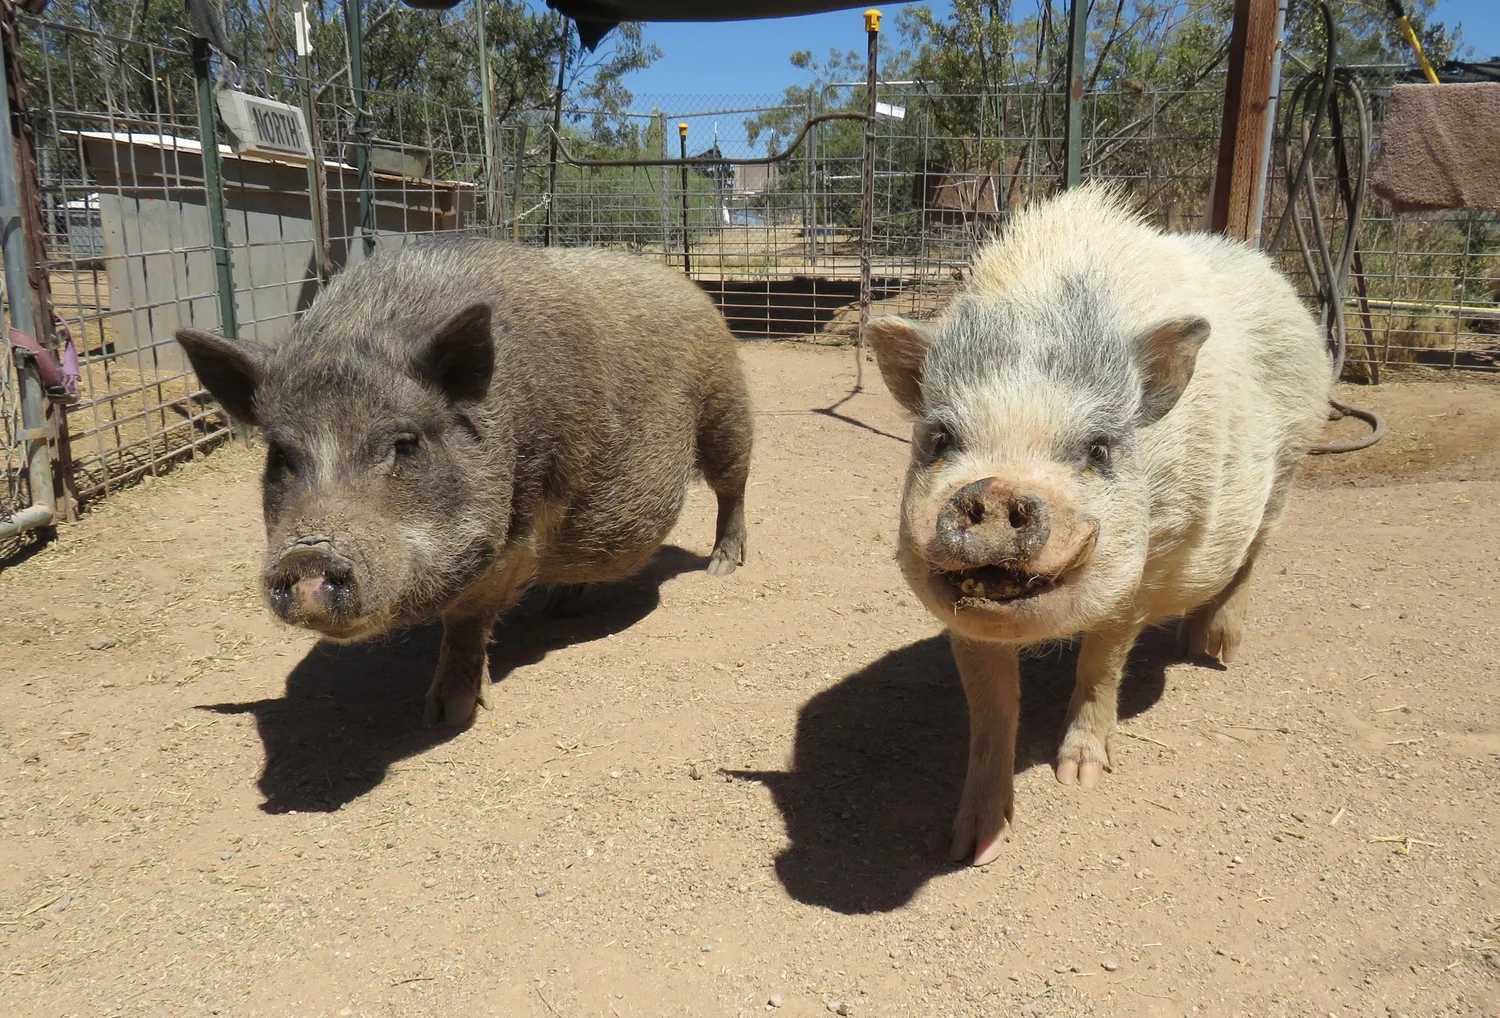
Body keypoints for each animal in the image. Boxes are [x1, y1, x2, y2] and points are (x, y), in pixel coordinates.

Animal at [175, 237, 751, 727]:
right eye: (280, 455)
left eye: (405, 443)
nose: (307, 556)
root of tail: (691, 288)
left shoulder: (520, 523)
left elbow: (467, 618)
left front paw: (446, 716)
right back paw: (561, 604)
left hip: (726, 402)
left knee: (734, 485)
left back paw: (722, 569)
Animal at [866, 183, 1330, 865]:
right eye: (940, 440)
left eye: (1100, 449)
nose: (996, 489)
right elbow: (992, 709)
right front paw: (974, 848)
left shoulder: (1149, 562)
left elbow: (1102, 664)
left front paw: (1079, 777)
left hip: (1293, 462)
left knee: (1251, 557)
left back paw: (1213, 654)